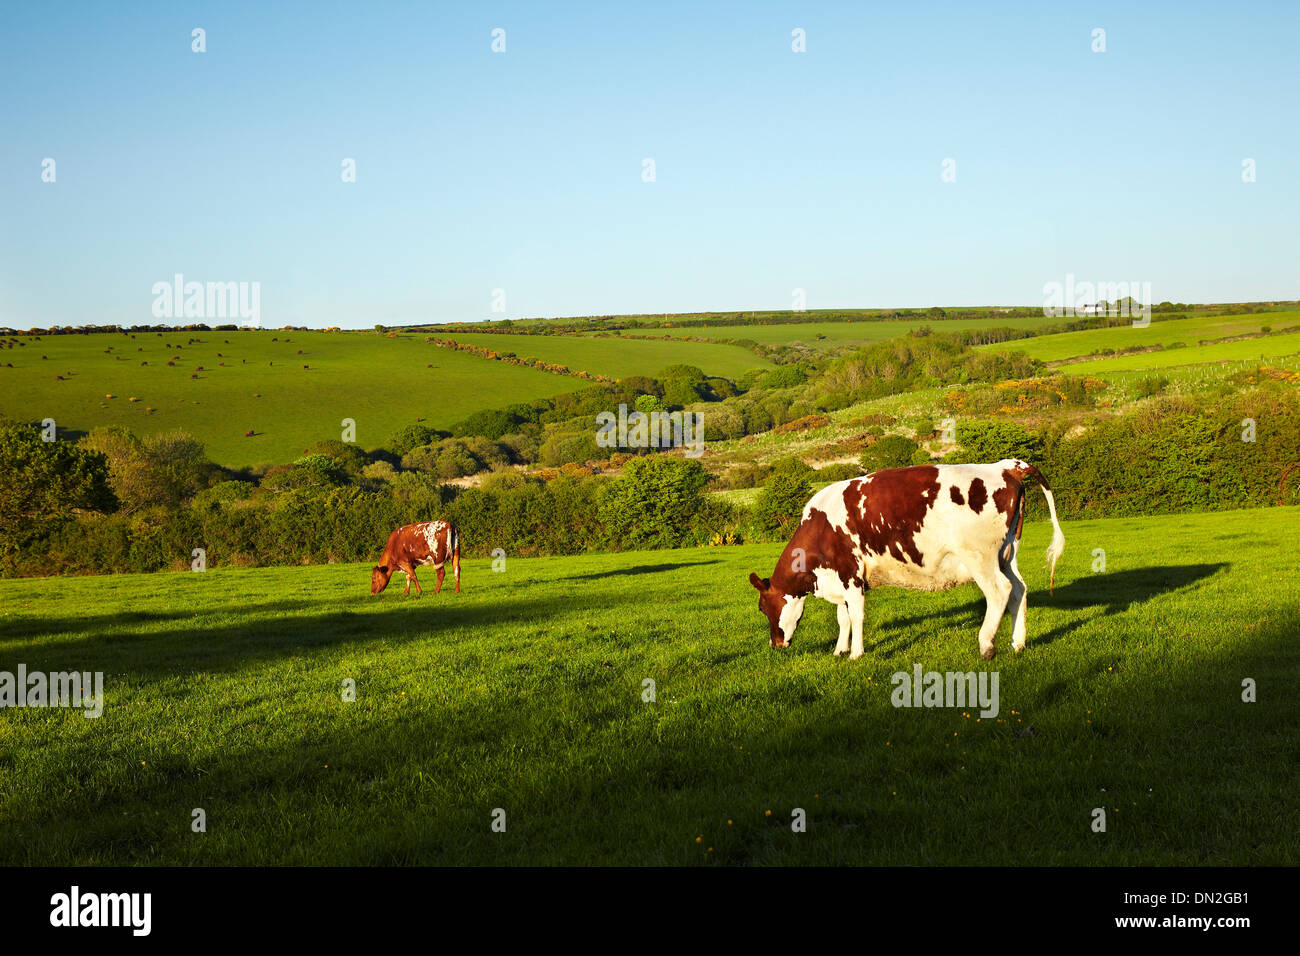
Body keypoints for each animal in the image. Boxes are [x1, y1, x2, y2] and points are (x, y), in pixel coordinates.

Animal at [748, 460, 1065, 661]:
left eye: (763, 608)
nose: (775, 645)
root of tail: (1005, 466)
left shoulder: (851, 574)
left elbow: (855, 615)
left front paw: (855, 654)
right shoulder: (838, 577)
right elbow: (842, 617)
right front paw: (839, 650)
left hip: (980, 557)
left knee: (1000, 592)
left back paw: (986, 645)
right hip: (1007, 555)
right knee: (1020, 590)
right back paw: (1017, 644)